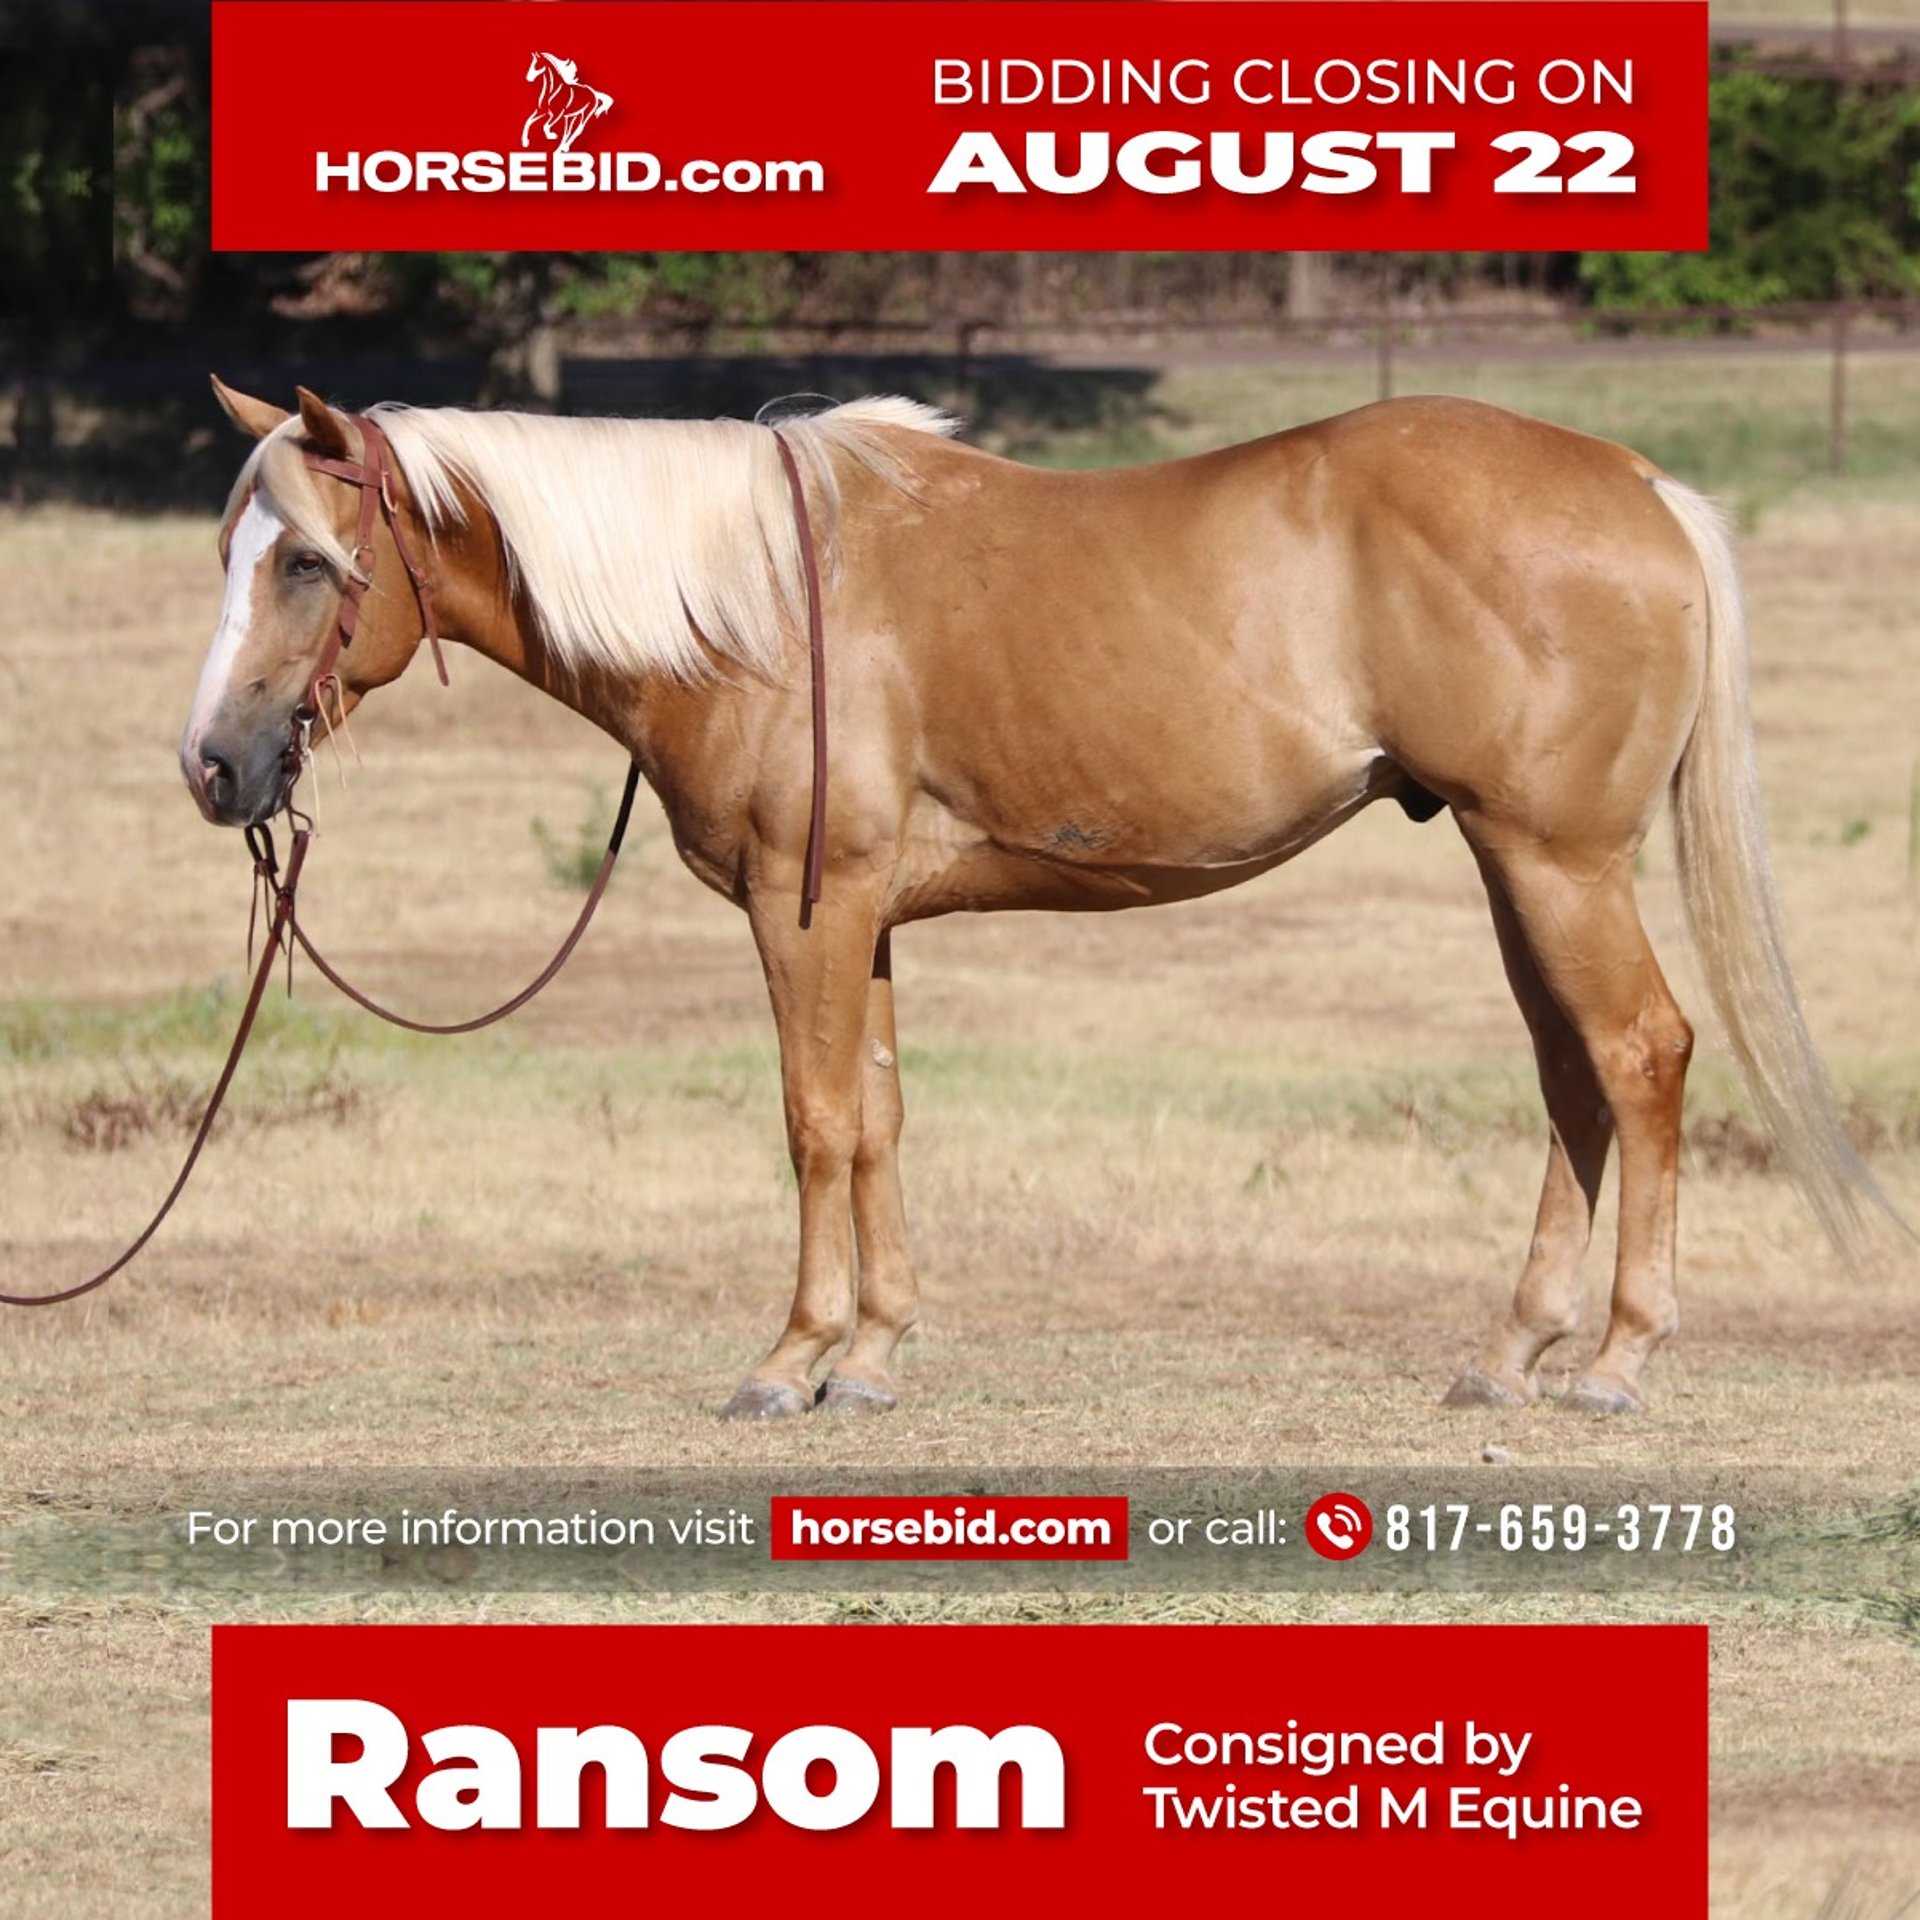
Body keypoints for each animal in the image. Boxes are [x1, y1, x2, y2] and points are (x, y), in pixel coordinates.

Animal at [186, 378, 1901, 1422]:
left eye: (309, 563)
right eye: (226, 550)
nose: (214, 765)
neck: (756, 599)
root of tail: (1642, 486)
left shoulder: (802, 912)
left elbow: (814, 1121)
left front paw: (792, 1357)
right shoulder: (863, 920)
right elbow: (878, 1120)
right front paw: (874, 1357)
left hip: (1555, 862)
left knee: (1639, 1056)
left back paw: (1616, 1356)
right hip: (1513, 863)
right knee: (1572, 1075)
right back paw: (1516, 1348)